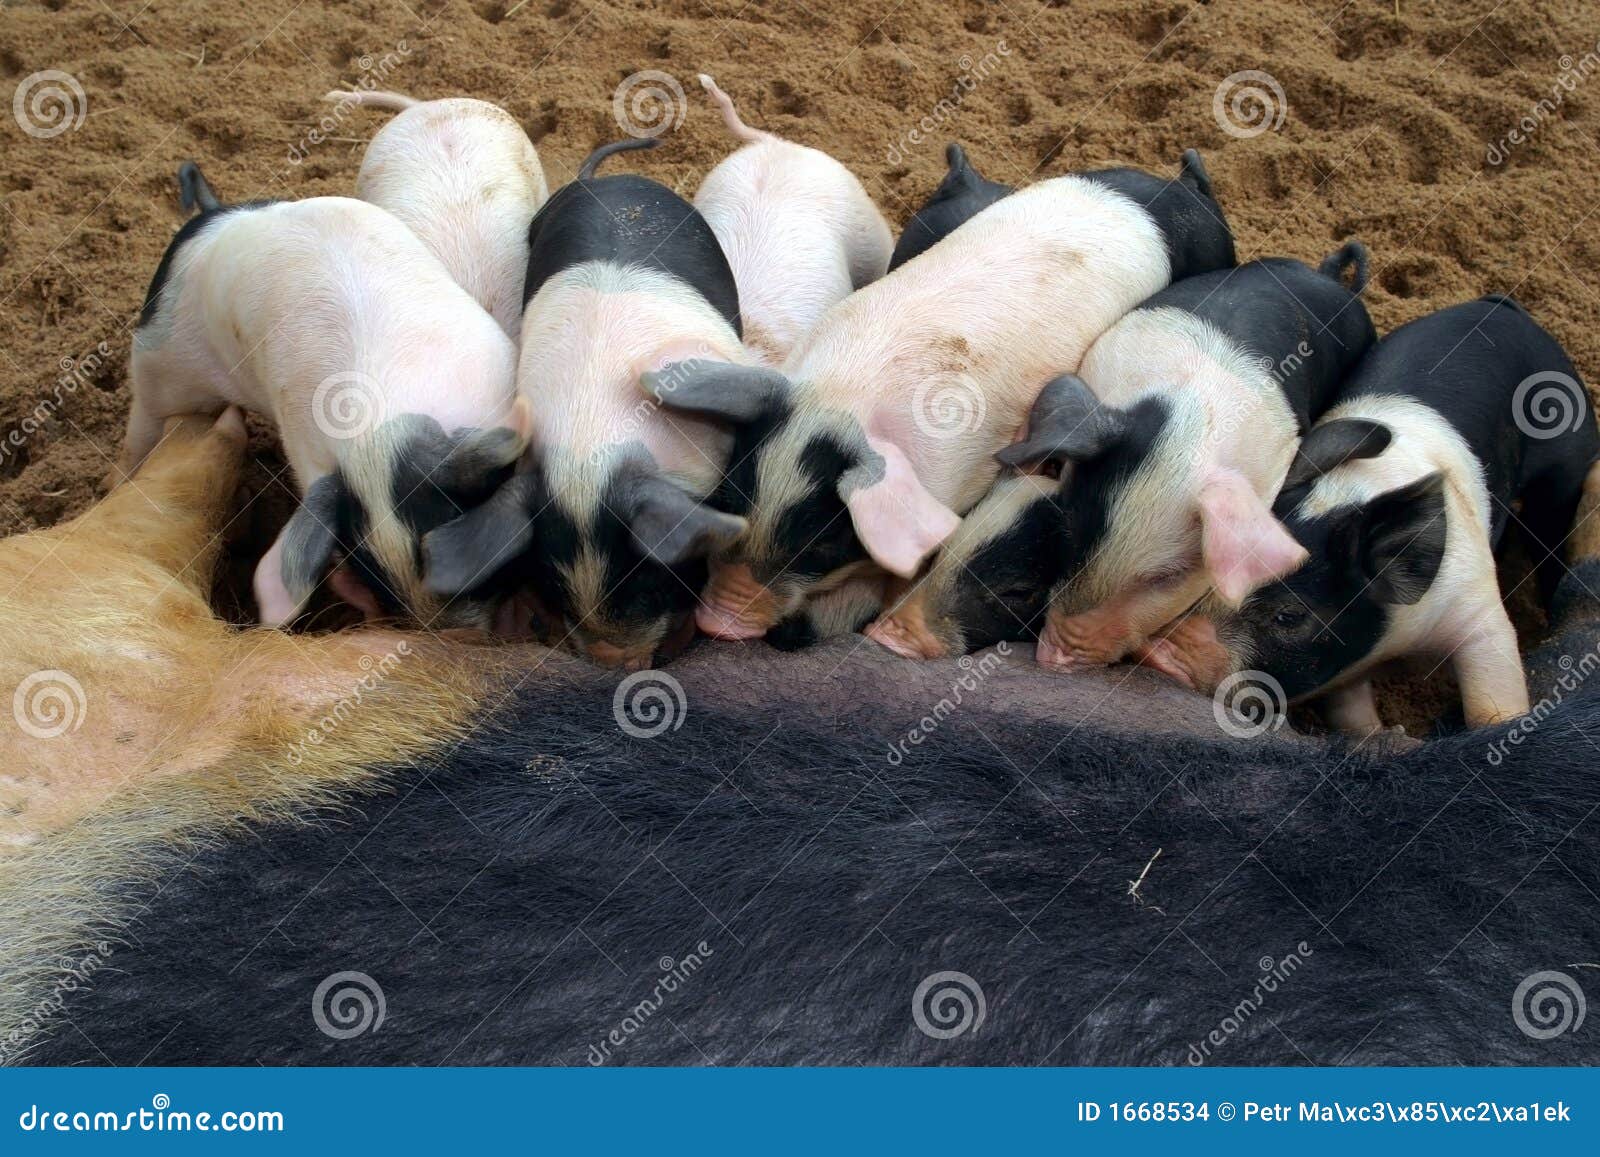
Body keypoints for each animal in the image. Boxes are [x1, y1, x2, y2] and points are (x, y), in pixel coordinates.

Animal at [120, 162, 526, 628]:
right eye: (374, 575)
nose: (454, 633)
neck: (376, 432)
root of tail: (213, 215)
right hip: (158, 363)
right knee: (141, 431)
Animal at [1140, 294, 1600, 733]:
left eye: (1288, 615)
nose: (1159, 652)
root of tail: (1503, 307)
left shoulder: (1473, 601)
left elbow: (1493, 685)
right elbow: (1351, 712)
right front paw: (1379, 734)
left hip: (1567, 454)